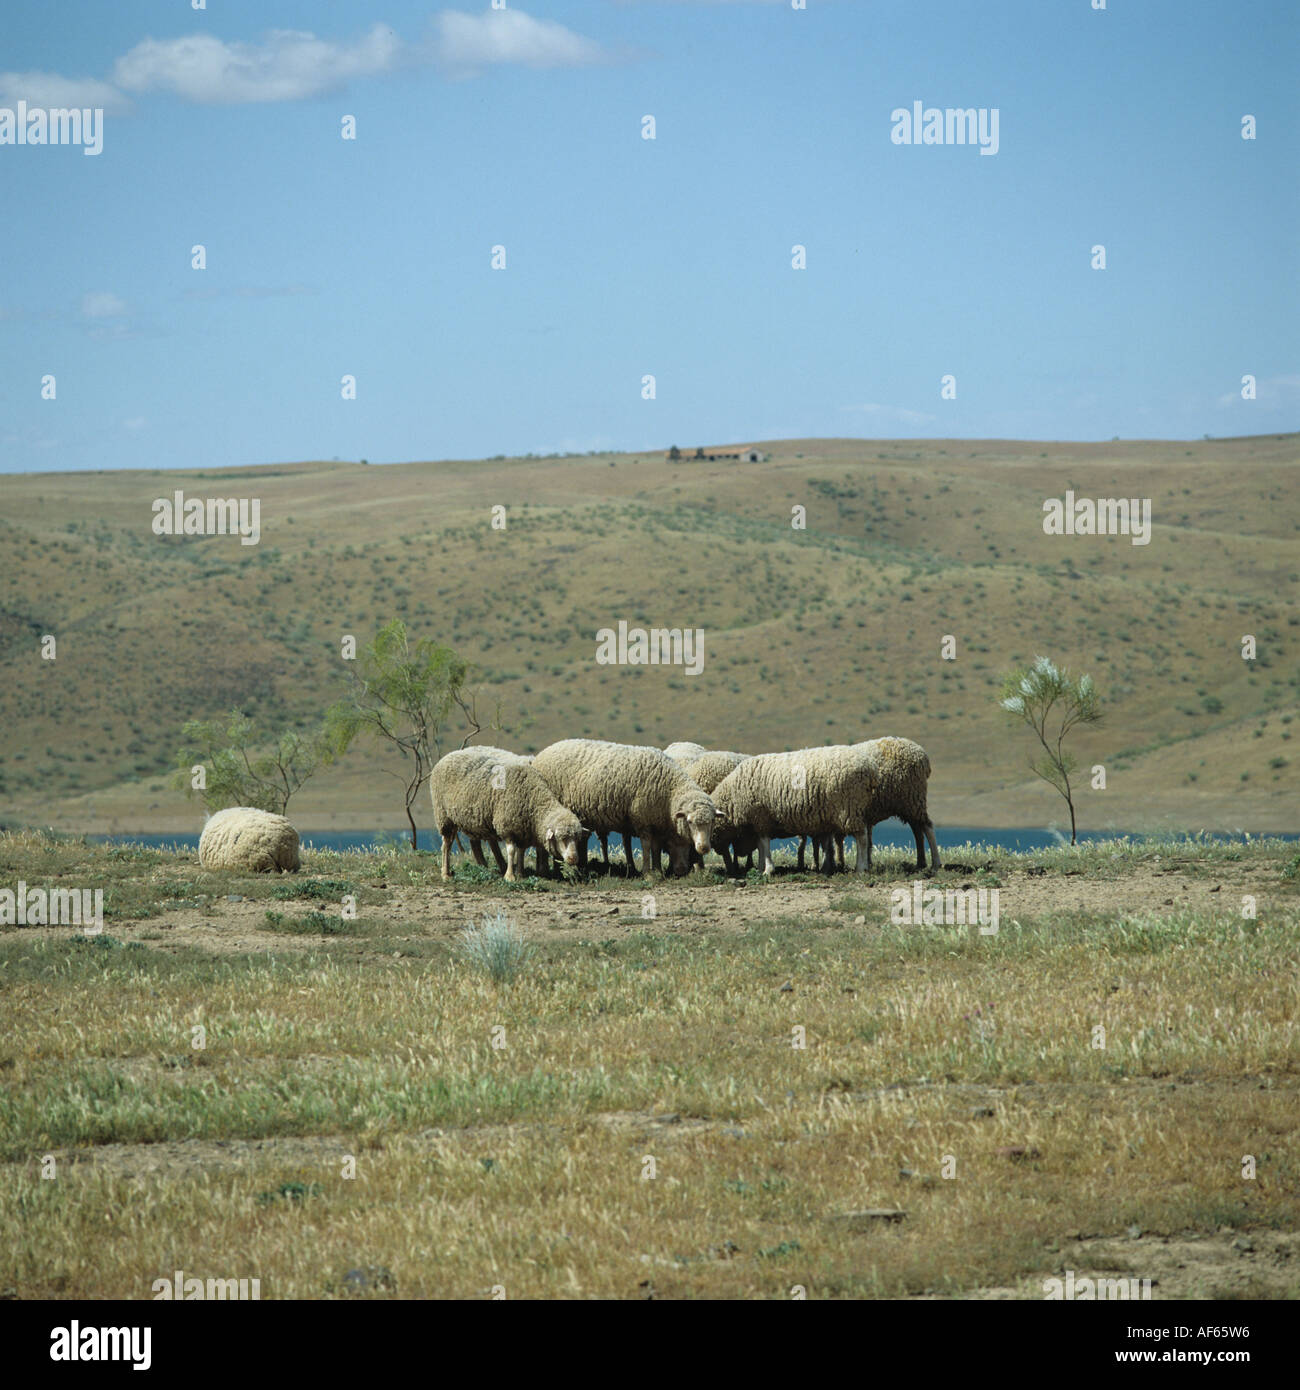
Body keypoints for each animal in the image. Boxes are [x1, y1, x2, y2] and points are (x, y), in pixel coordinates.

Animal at [430, 746, 587, 882]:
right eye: (562, 838)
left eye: (577, 838)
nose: (574, 858)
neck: (533, 800)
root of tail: (447, 756)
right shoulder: (507, 826)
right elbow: (511, 851)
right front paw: (510, 876)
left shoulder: (523, 830)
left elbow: (521, 852)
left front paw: (520, 873)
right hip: (444, 816)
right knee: (446, 845)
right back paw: (446, 873)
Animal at [532, 739, 717, 877]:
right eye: (690, 822)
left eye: (712, 822)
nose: (704, 848)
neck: (670, 791)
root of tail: (542, 753)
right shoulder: (642, 818)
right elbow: (646, 846)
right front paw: (647, 873)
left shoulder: (655, 820)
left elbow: (655, 848)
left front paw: (657, 870)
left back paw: (582, 866)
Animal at [709, 745, 881, 876]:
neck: (733, 796)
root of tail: (871, 768)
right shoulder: (759, 821)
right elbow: (760, 845)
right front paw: (760, 867)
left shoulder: (761, 817)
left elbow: (764, 844)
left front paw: (768, 870)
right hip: (846, 811)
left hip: (849, 808)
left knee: (862, 838)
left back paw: (861, 868)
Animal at [855, 736, 941, 871]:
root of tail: (921, 753)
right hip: (908, 804)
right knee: (918, 830)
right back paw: (921, 863)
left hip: (913, 798)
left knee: (927, 827)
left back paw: (935, 863)